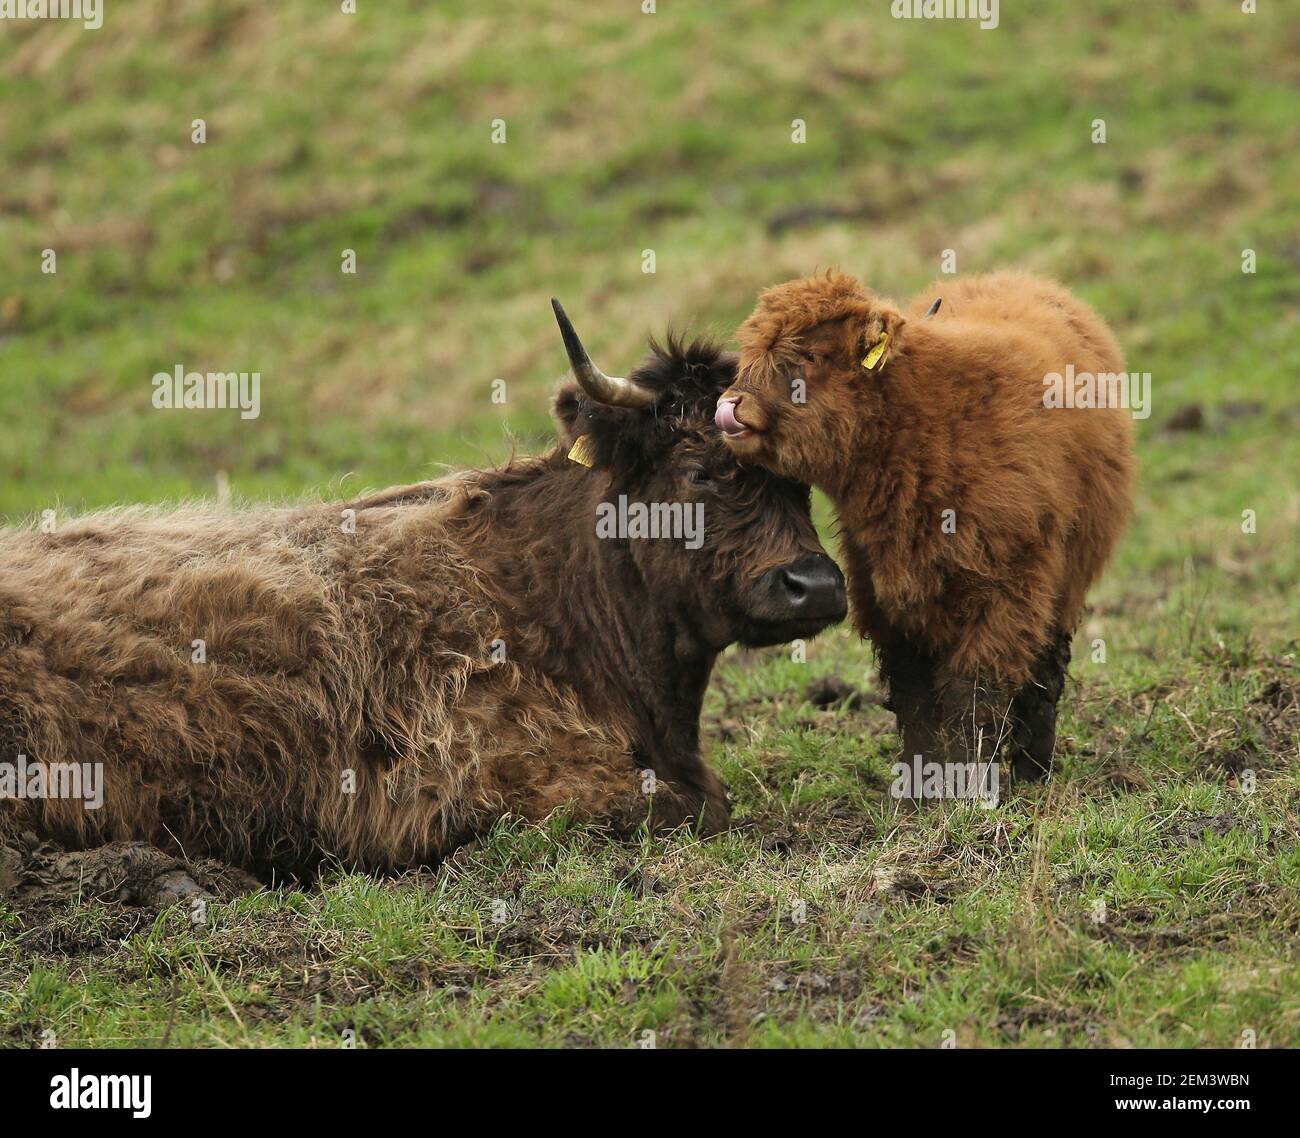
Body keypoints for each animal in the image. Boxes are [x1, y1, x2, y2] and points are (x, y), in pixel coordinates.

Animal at [715, 270, 1135, 783]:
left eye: (810, 356)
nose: (730, 405)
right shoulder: (885, 600)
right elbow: (914, 699)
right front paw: (920, 783)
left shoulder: (1007, 592)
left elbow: (975, 695)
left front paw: (966, 785)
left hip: (1065, 583)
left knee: (1046, 670)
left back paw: (1034, 768)